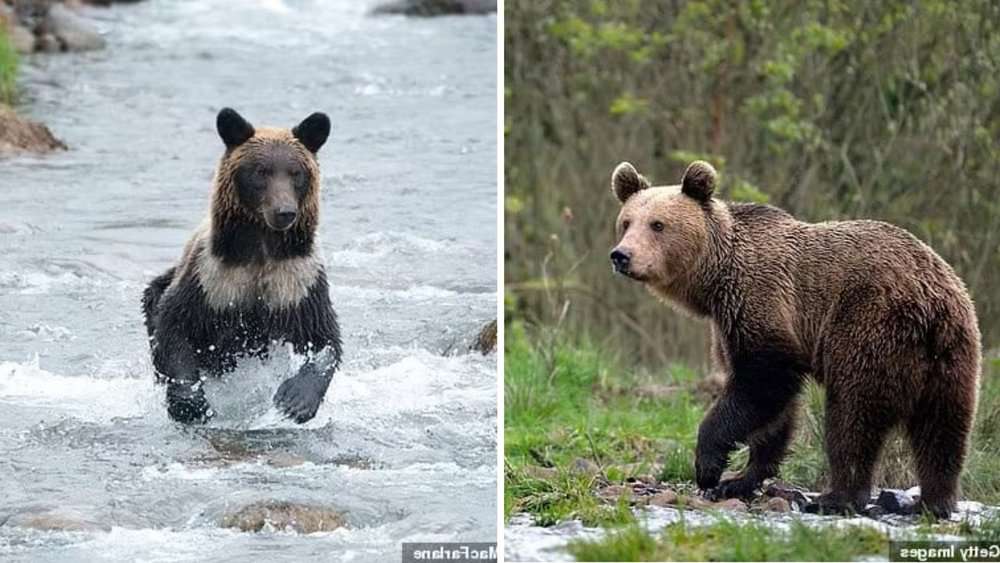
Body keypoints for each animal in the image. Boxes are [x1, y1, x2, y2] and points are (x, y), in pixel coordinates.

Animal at [142, 107, 342, 425]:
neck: (261, 247)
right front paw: (190, 404)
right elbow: (175, 326)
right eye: (261, 171)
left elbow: (323, 337)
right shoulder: (211, 278)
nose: (284, 211)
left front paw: (294, 400)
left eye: (296, 172)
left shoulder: (298, 280)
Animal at [608, 160, 981, 518]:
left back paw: (838, 496)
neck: (715, 279)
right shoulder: (729, 324)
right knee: (942, 430)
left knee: (852, 416)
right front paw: (740, 479)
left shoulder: (759, 303)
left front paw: (709, 469)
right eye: (626, 222)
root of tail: (930, 302)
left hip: (869, 327)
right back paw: (934, 501)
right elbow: (774, 410)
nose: (621, 255)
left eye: (657, 224)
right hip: (952, 354)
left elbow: (762, 383)